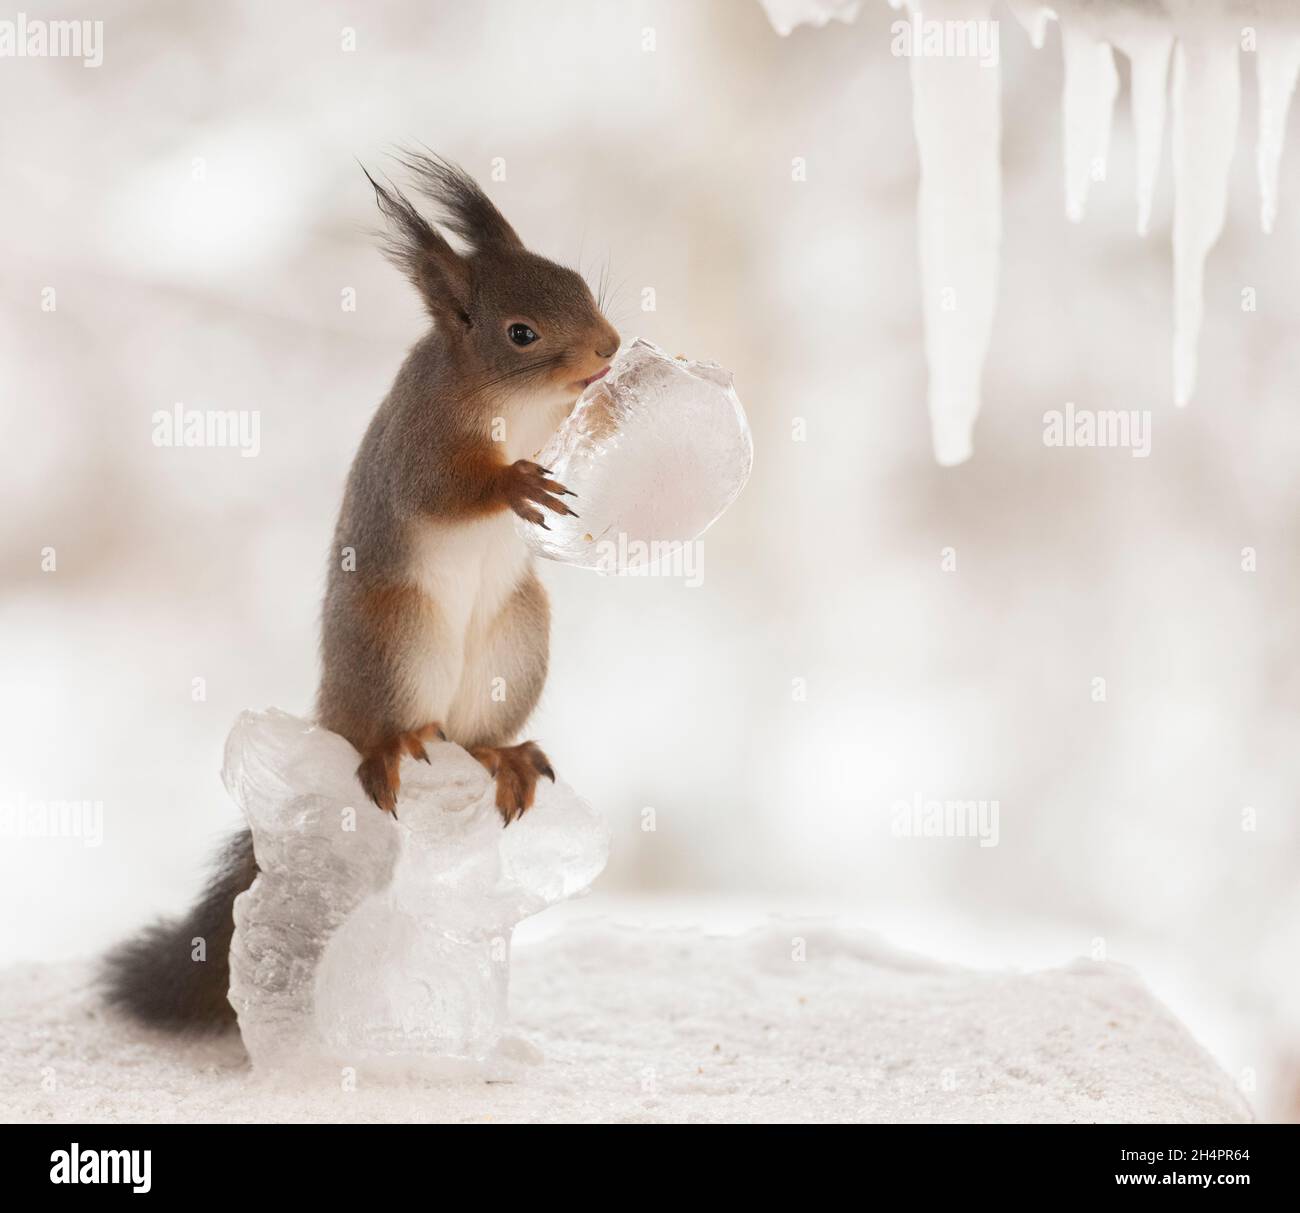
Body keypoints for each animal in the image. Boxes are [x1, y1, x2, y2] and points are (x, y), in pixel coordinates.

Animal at [101, 153, 619, 1030]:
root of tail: (335, 712)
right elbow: (450, 491)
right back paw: (386, 750)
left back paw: (501, 755)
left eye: (580, 283)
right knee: (384, 732)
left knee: (475, 737)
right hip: (393, 634)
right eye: (521, 332)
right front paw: (514, 483)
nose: (609, 348)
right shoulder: (421, 443)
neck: (511, 402)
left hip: (516, 639)